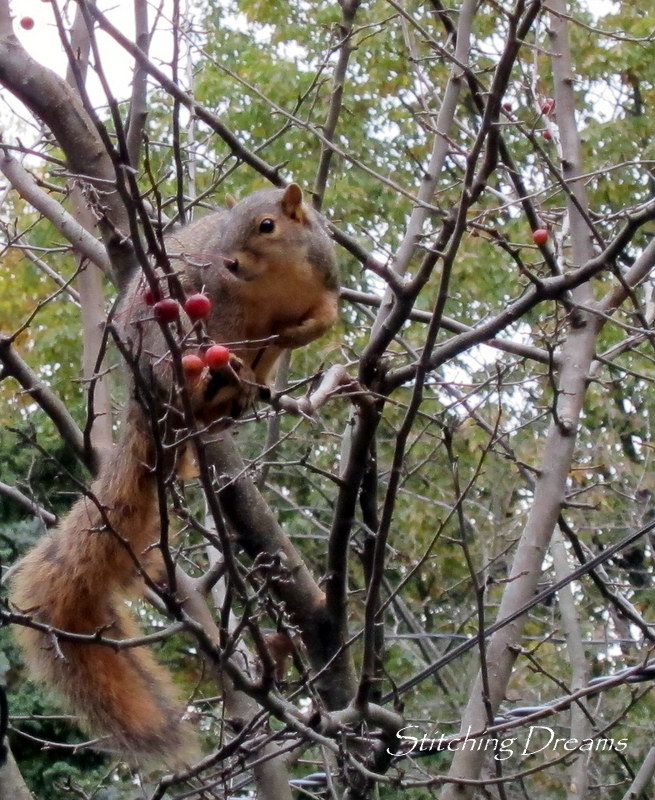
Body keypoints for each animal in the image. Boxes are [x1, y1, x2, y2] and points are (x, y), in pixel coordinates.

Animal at [9, 184, 339, 761]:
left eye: (267, 225)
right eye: (226, 229)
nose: (230, 261)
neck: (274, 282)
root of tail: (145, 403)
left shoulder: (324, 281)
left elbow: (324, 319)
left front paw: (301, 331)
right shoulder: (221, 306)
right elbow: (226, 329)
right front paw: (228, 363)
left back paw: (235, 398)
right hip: (158, 340)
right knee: (186, 362)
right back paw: (216, 384)